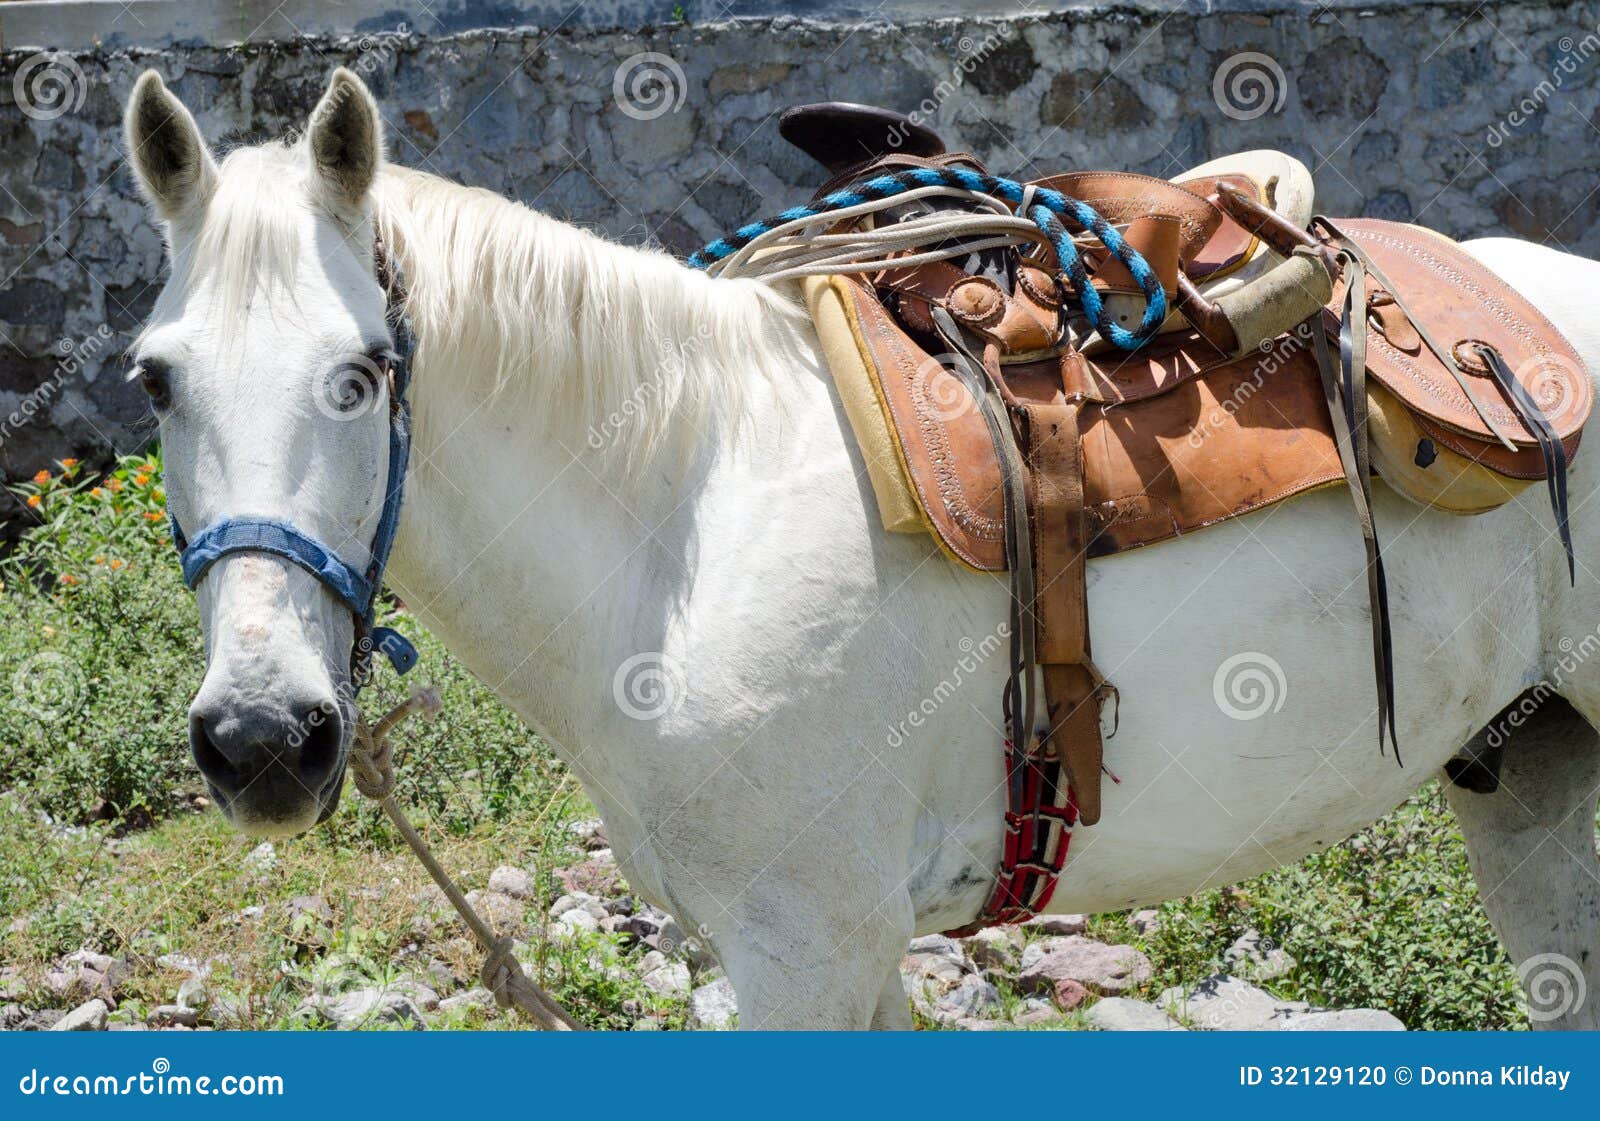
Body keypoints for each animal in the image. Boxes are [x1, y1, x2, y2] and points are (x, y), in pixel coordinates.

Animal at [121, 66, 1600, 1030]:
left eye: (363, 372)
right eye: (156, 380)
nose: (263, 738)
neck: (684, 518)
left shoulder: (806, 946)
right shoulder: (843, 944)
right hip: (1533, 777)